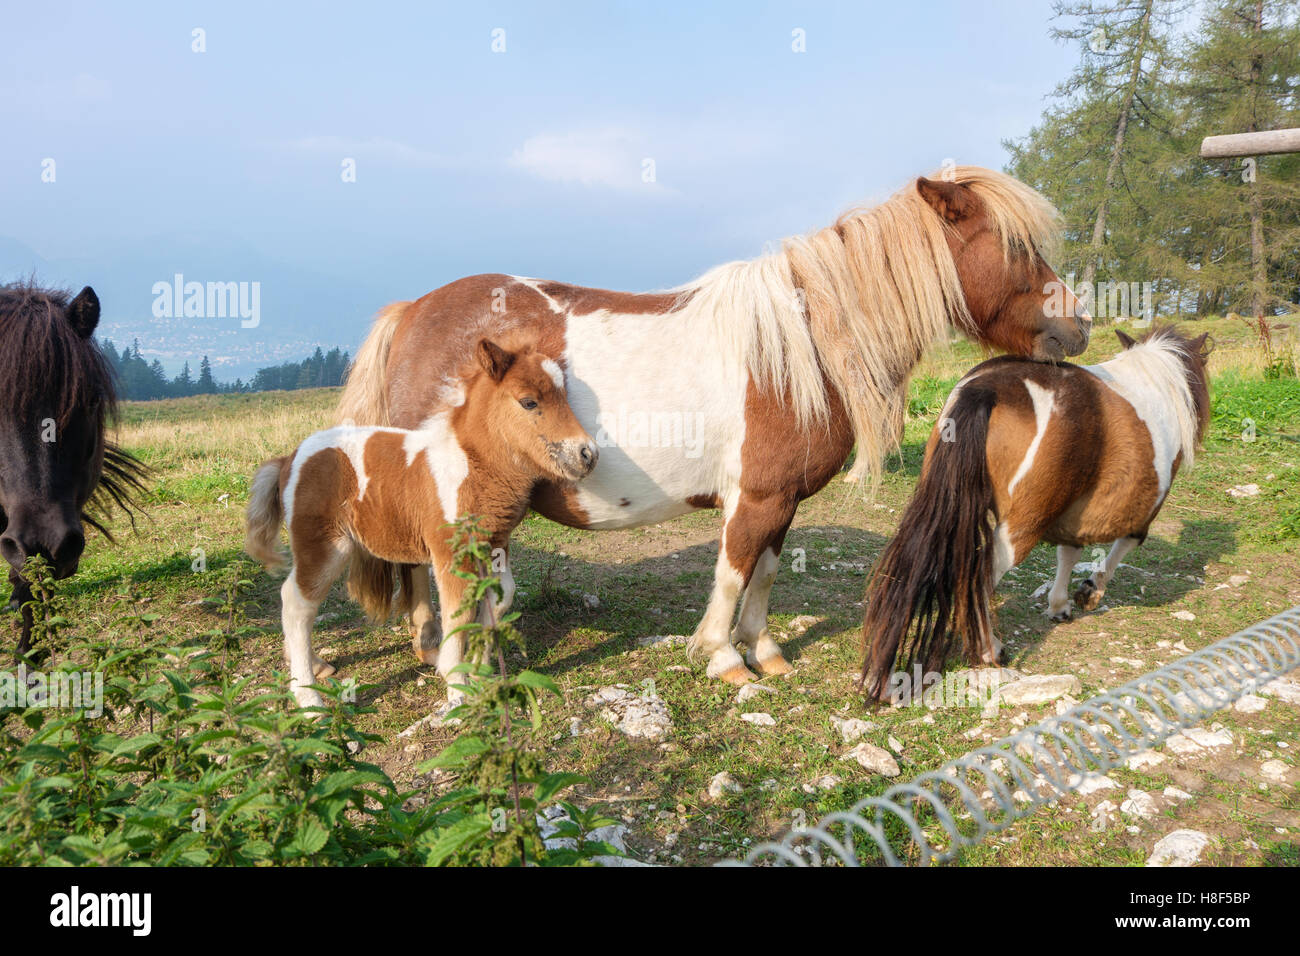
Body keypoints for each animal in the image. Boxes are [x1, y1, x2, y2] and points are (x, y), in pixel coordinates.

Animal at [244, 339, 599, 708]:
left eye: (565, 396)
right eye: (529, 401)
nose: (588, 454)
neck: (470, 465)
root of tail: (290, 458)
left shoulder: (496, 543)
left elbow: (500, 599)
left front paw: (478, 671)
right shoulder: (449, 554)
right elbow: (458, 612)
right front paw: (456, 685)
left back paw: (314, 666)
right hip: (324, 545)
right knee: (296, 603)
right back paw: (308, 699)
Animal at [335, 165, 1091, 689]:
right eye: (1016, 246)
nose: (1079, 325)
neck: (802, 344)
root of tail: (412, 311)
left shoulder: (782, 499)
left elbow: (764, 575)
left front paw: (767, 652)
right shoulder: (753, 498)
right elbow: (732, 574)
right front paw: (724, 657)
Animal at [859, 326, 1212, 700]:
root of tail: (987, 389)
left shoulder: (1072, 516)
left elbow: (1068, 554)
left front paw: (1060, 604)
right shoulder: (1142, 514)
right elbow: (1118, 552)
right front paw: (1090, 590)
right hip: (1021, 527)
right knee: (981, 575)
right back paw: (990, 649)